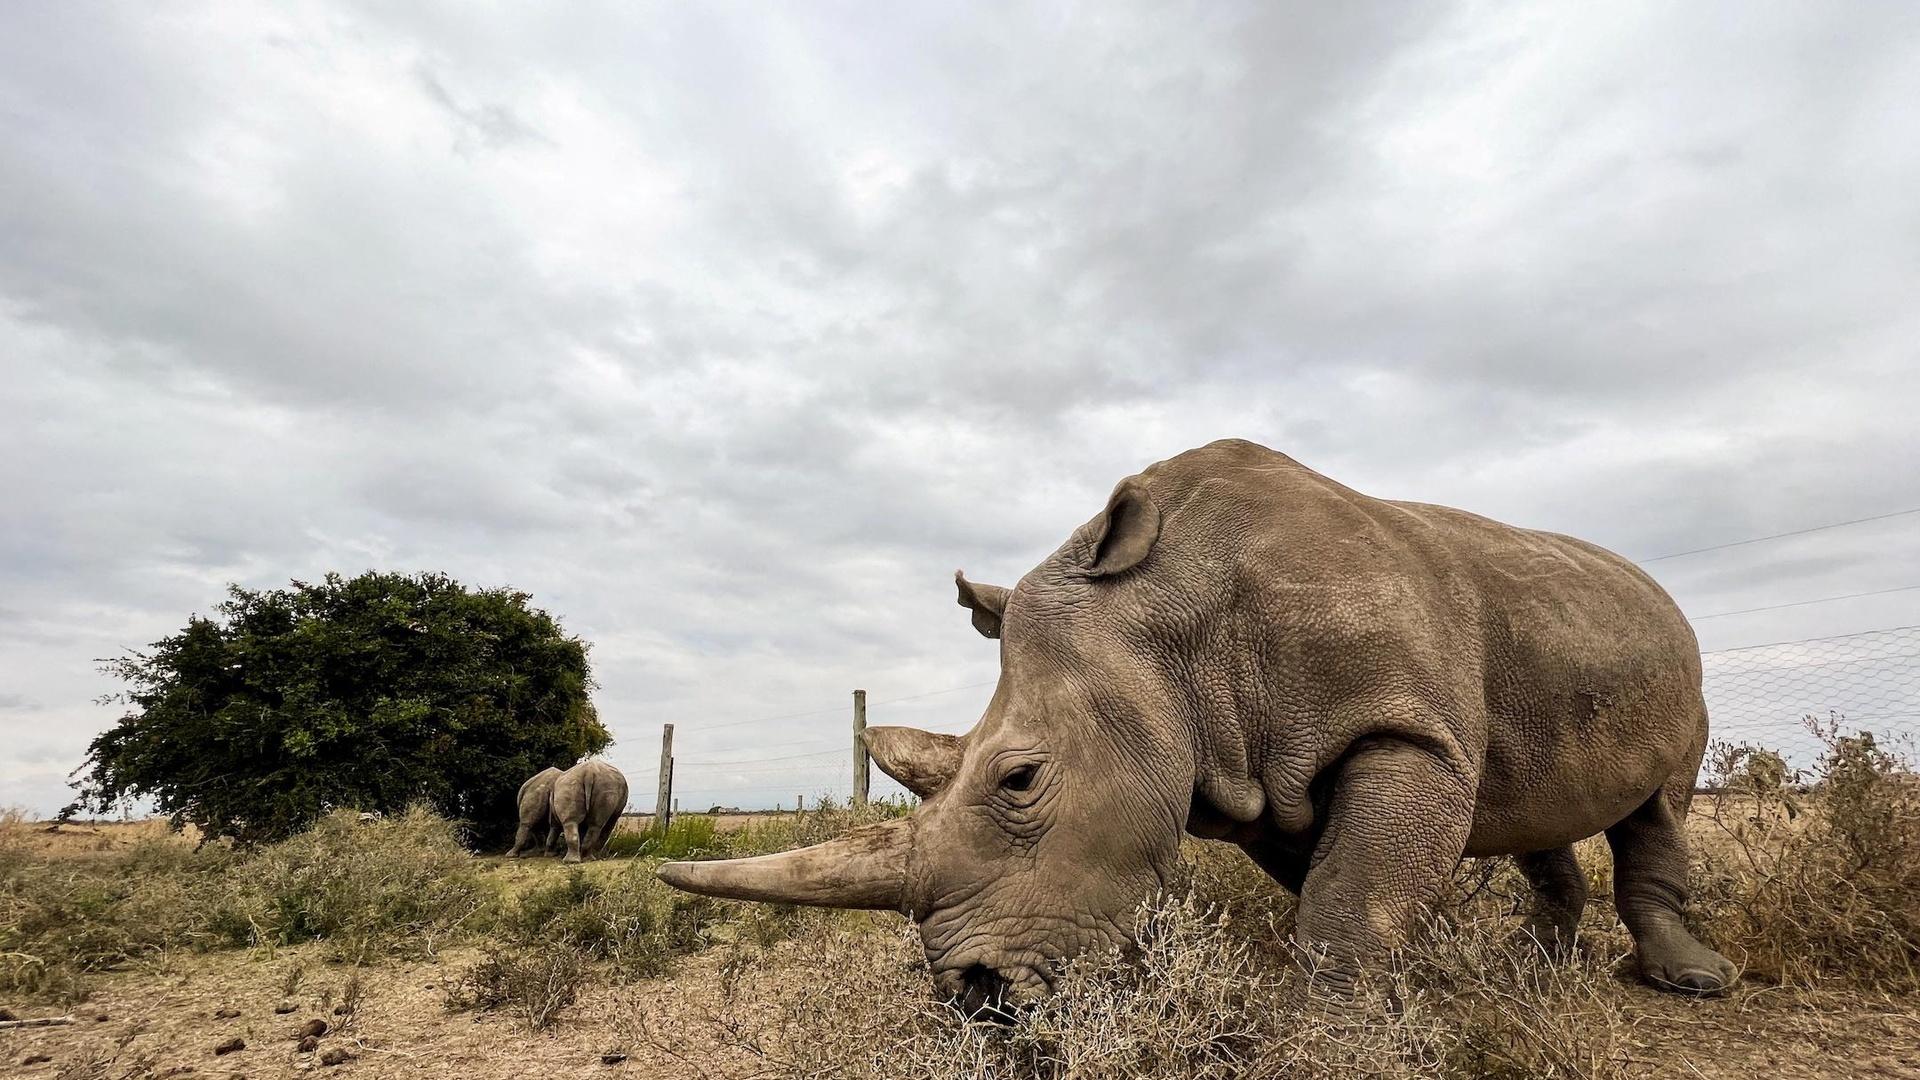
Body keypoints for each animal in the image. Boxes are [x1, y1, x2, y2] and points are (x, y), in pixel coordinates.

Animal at [658, 439, 1736, 1012]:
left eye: (1019, 780)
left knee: (1661, 806)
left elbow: (1349, 899)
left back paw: (1690, 984)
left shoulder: (1404, 732)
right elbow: (1340, 887)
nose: (975, 993)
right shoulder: (1255, 777)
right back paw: (1533, 971)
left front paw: (1330, 1034)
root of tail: (1654, 589)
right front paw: (1419, 973)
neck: (1176, 622)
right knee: (1531, 805)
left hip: (1680, 656)